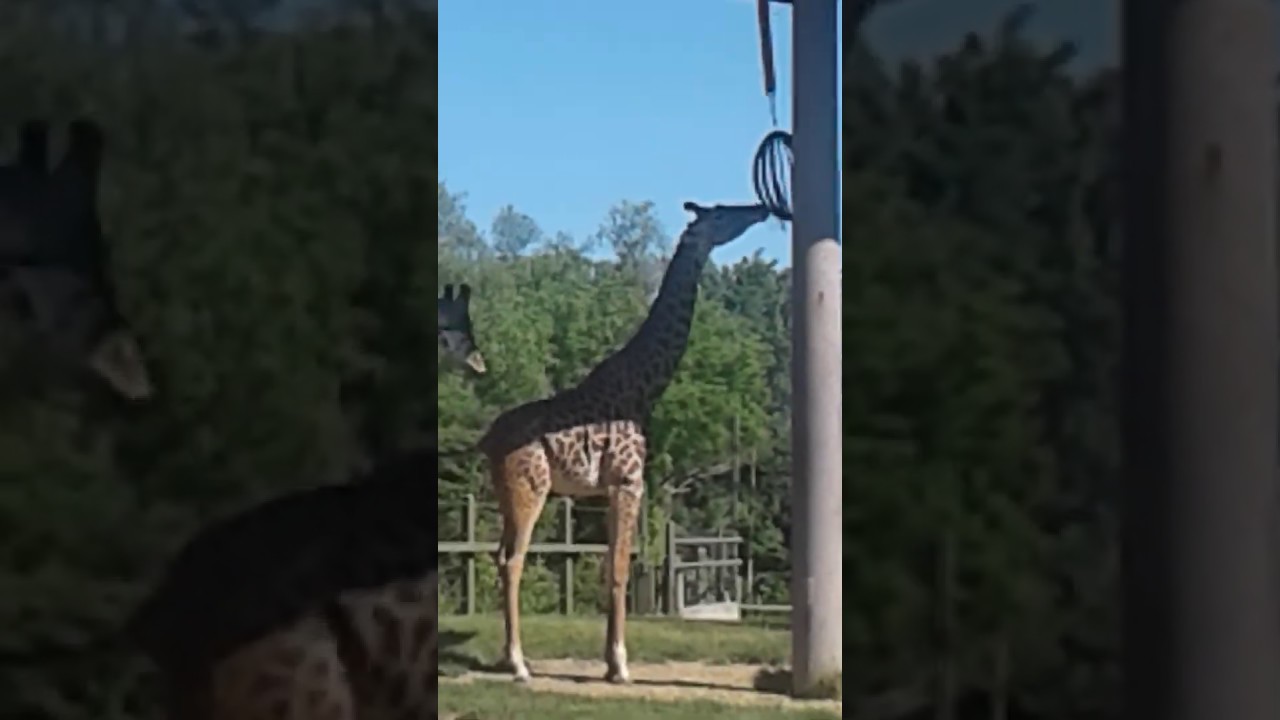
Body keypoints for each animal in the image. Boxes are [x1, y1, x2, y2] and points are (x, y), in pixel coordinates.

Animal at [475, 201, 768, 683]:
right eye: (724, 213)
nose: (760, 210)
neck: (644, 389)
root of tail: (489, 439)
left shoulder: (611, 487)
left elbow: (612, 565)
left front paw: (611, 661)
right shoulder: (630, 482)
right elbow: (618, 570)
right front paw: (620, 666)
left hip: (507, 493)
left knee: (500, 555)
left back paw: (508, 657)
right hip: (530, 489)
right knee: (512, 559)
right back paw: (518, 664)